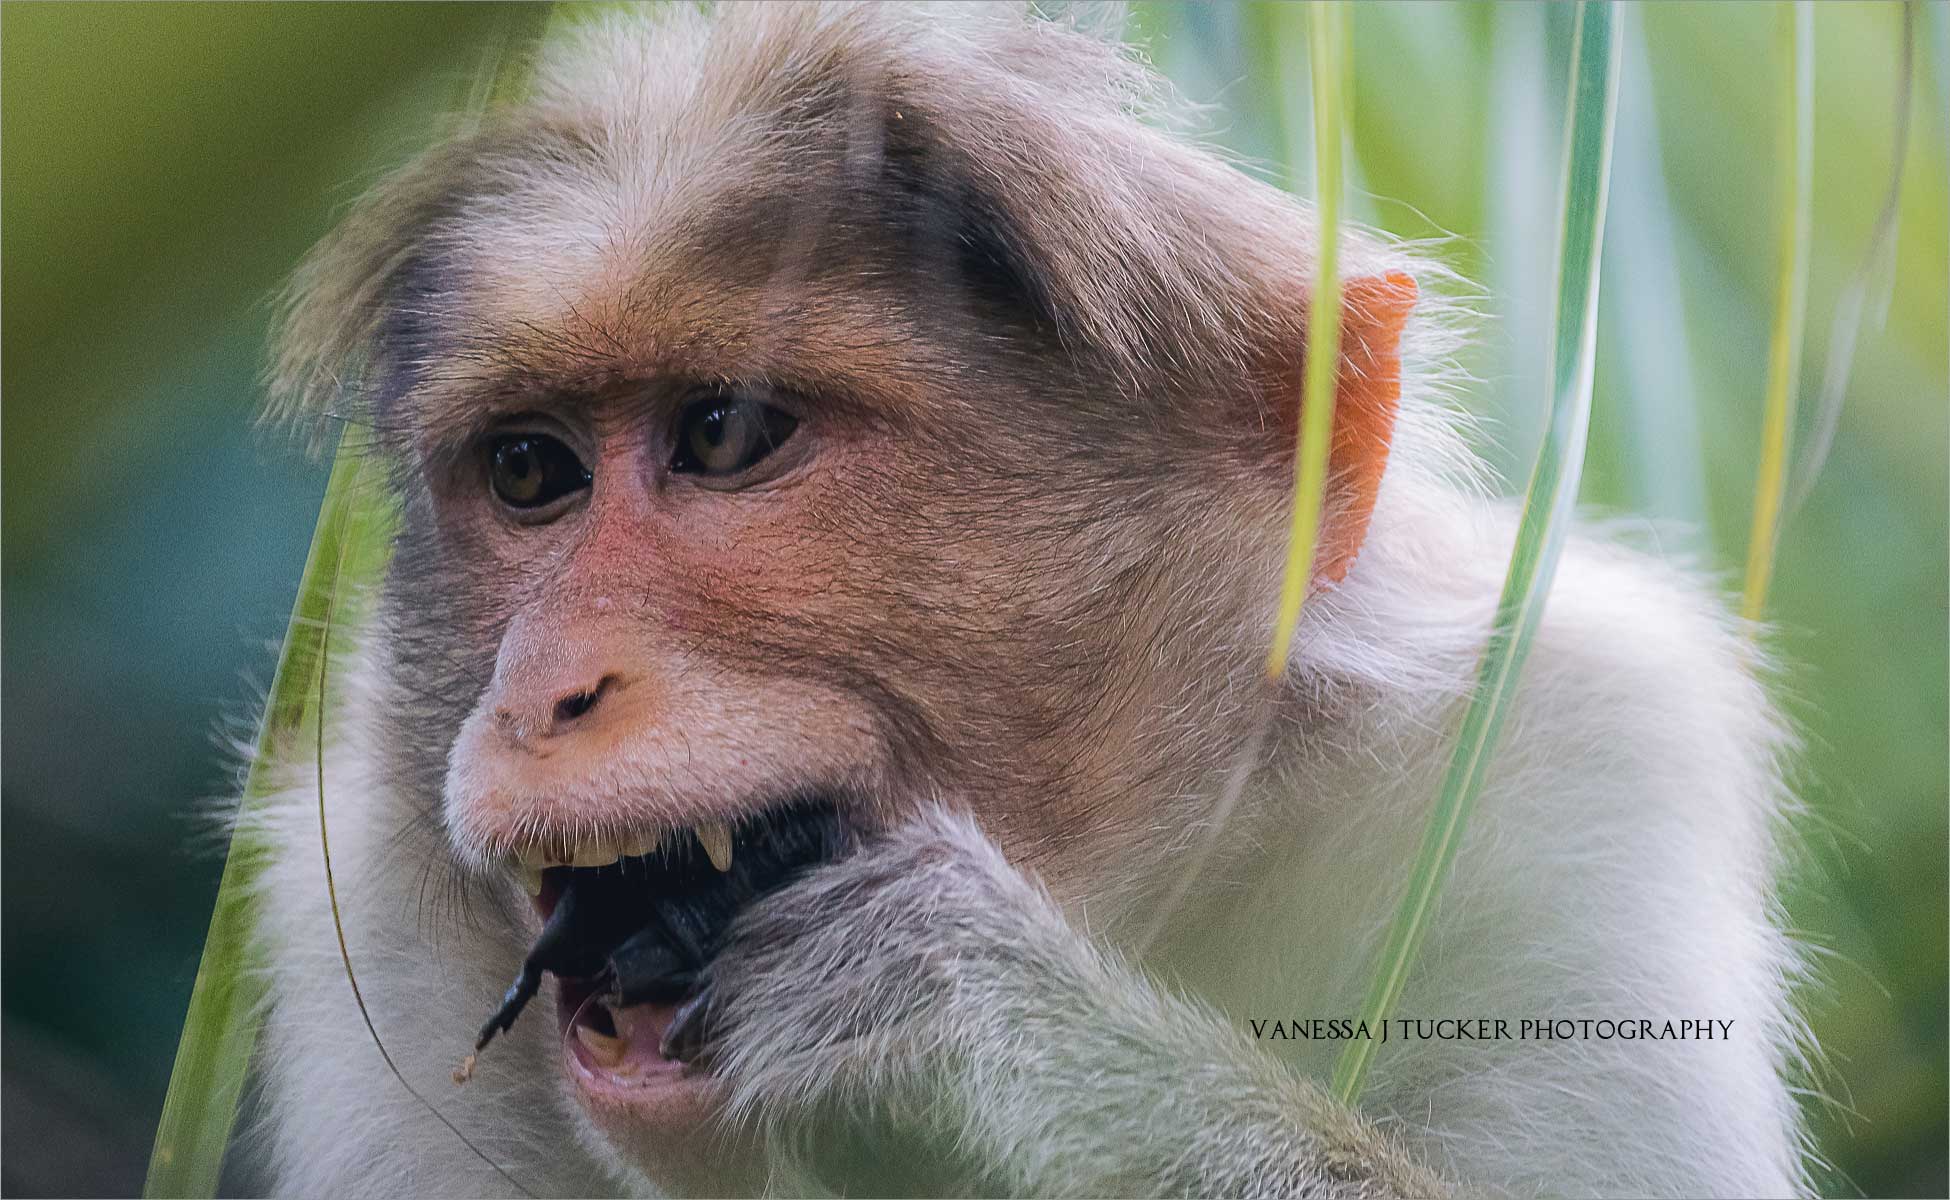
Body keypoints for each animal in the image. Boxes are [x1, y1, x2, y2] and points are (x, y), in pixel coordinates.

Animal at [242, 4, 1810, 1197]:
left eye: (724, 435)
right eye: (529, 472)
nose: (545, 692)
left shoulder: (1574, 783)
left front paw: (994, 1033)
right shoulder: (365, 931)